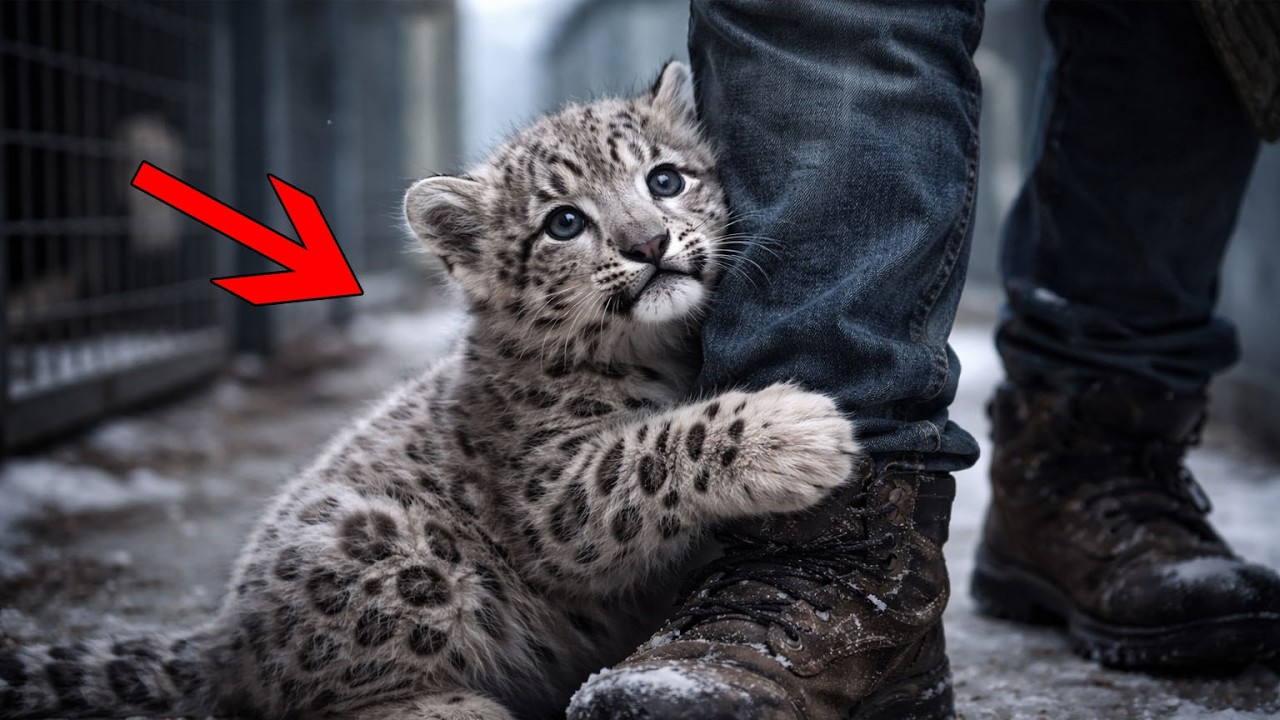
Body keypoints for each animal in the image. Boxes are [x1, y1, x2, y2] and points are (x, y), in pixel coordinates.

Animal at [0, 62, 859, 720]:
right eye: (564, 223)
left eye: (665, 178)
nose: (649, 244)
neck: (663, 352)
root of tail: (225, 635)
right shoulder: (551, 493)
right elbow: (644, 456)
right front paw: (796, 432)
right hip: (387, 547)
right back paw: (458, 707)